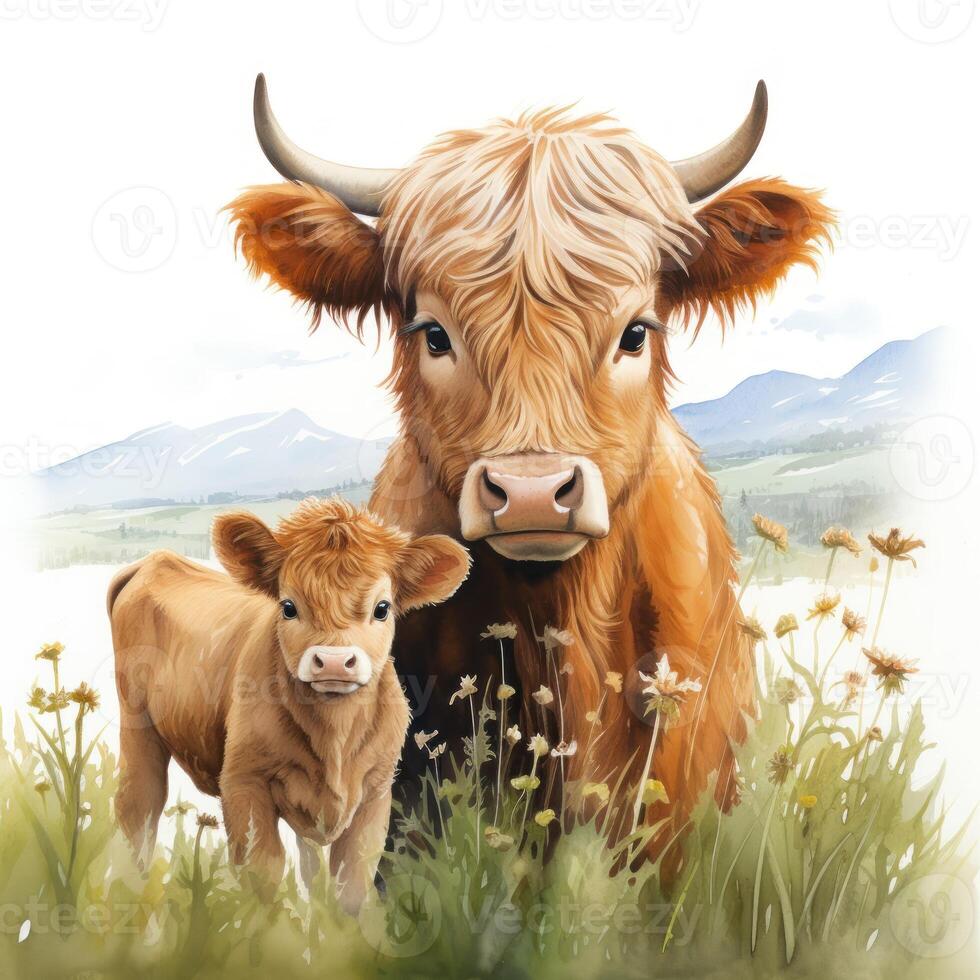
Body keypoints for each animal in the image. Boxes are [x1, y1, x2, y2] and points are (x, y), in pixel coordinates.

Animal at [107, 498, 470, 907]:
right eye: (288, 606)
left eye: (382, 608)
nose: (333, 661)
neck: (333, 738)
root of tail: (157, 560)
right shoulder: (244, 783)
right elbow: (262, 873)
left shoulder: (375, 792)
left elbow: (349, 882)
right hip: (137, 725)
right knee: (139, 806)